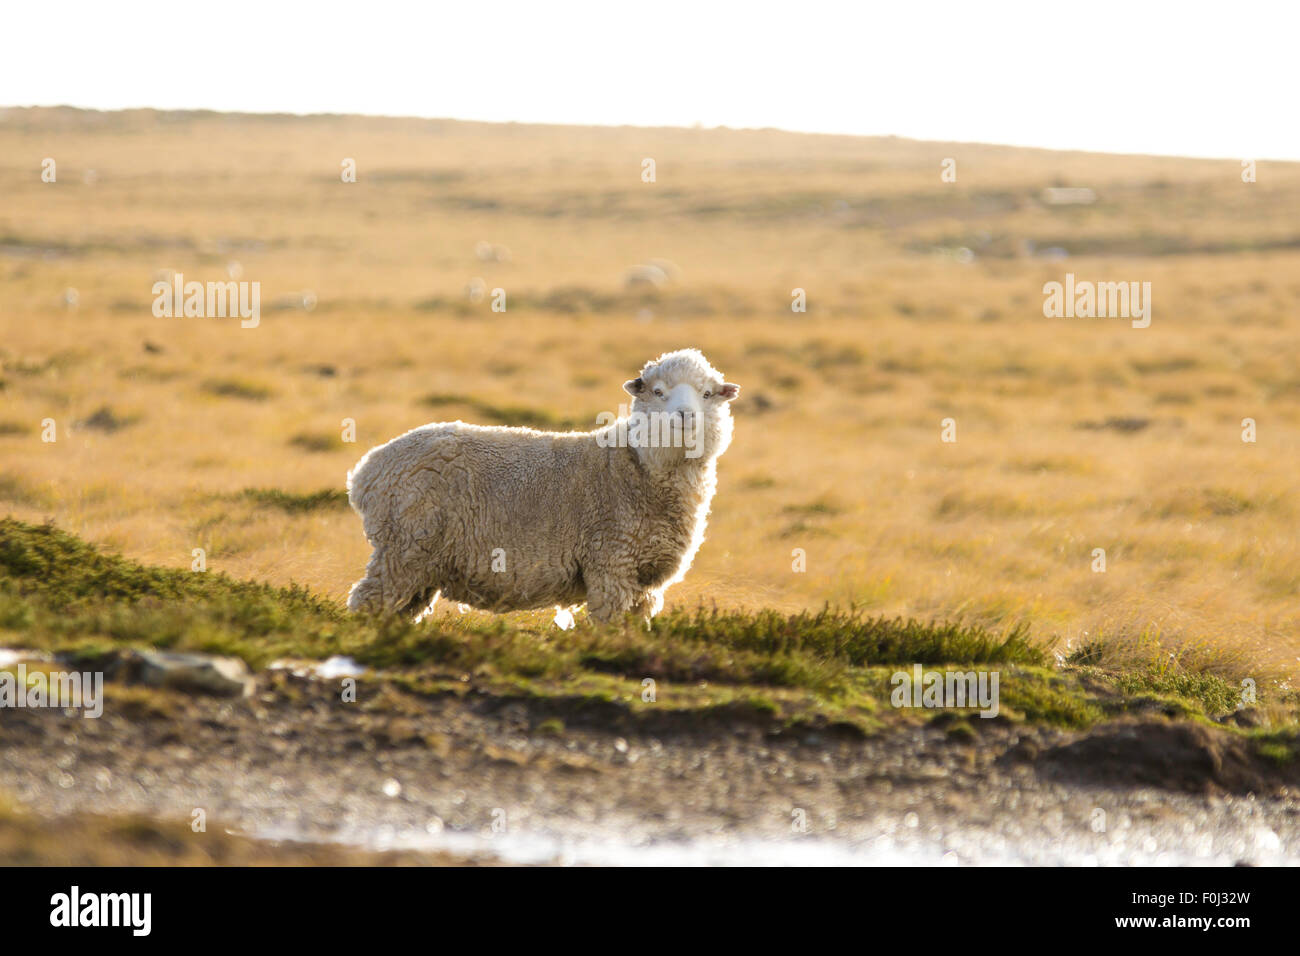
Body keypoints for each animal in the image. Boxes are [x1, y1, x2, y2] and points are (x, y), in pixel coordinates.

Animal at [345, 348, 740, 624]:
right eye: (658, 392)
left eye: (707, 394)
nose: (685, 415)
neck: (639, 466)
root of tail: (367, 471)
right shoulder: (611, 564)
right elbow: (611, 626)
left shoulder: (646, 582)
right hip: (404, 548)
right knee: (367, 601)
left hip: (421, 563)